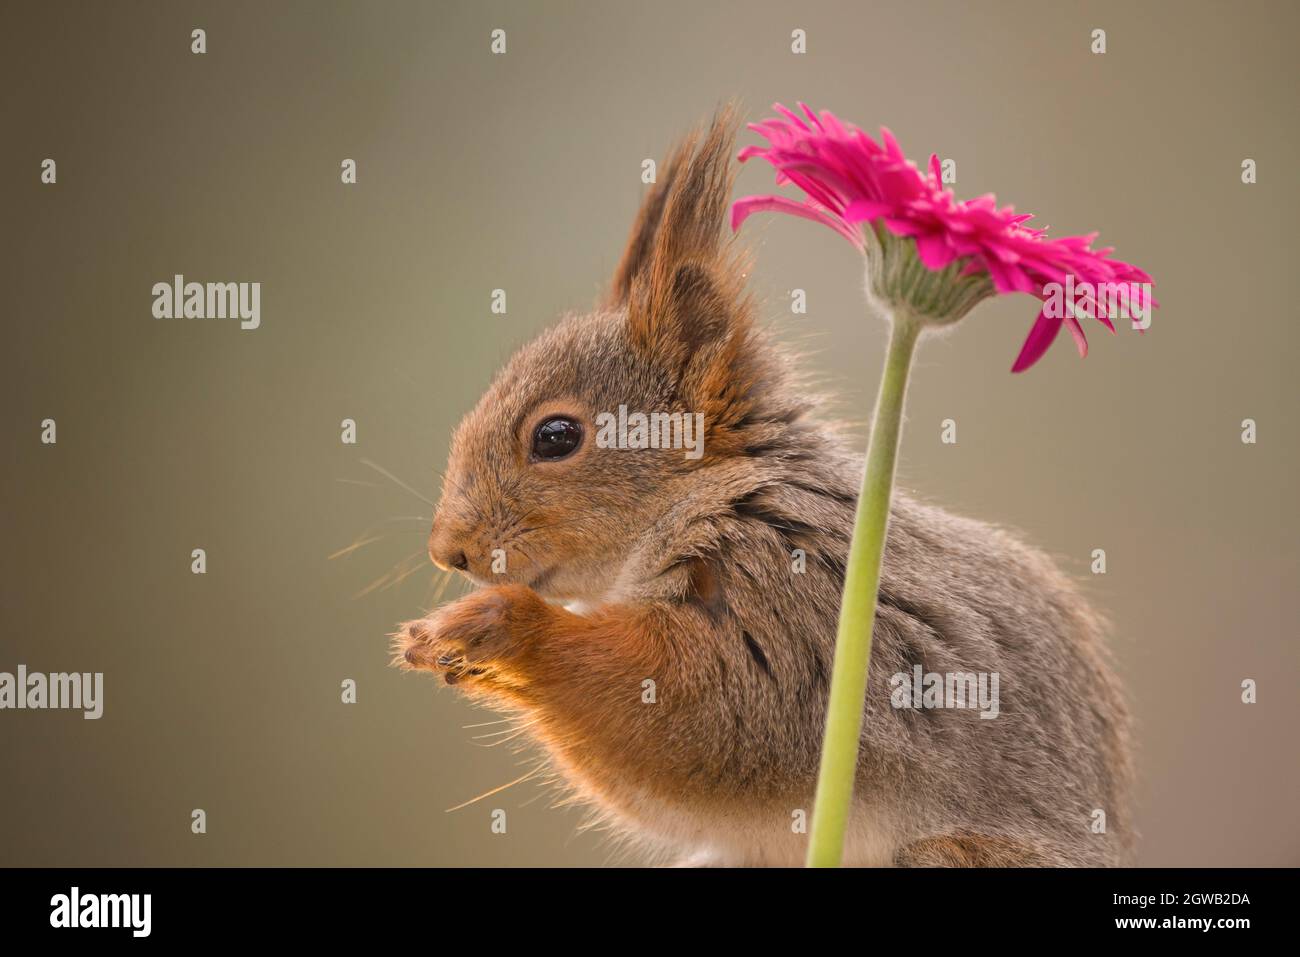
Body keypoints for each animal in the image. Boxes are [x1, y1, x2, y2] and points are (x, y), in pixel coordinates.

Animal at [394, 107, 1134, 867]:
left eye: (556, 436)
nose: (448, 550)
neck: (718, 492)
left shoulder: (795, 604)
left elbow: (717, 720)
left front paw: (497, 626)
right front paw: (439, 643)